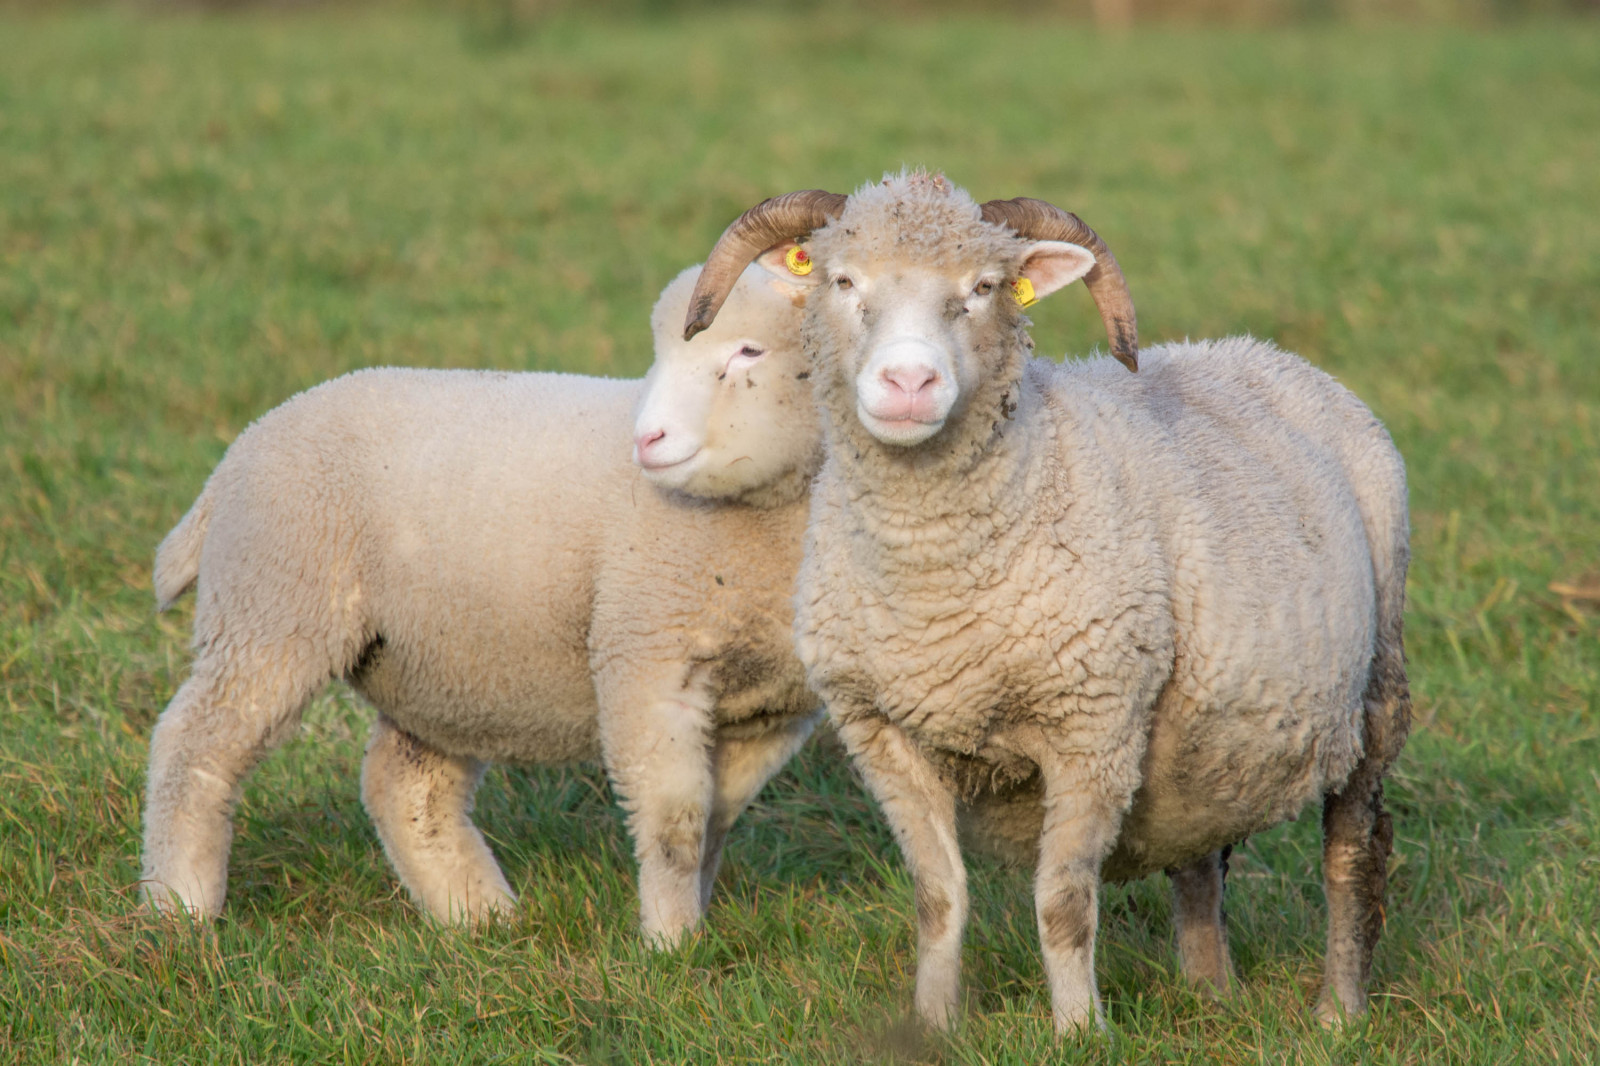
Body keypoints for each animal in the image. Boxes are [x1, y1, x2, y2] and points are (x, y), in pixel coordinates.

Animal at [141, 260, 825, 946]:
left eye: (750, 351)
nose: (648, 440)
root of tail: (240, 450)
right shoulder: (646, 659)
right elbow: (675, 824)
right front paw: (670, 945)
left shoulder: (769, 712)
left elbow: (714, 825)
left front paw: (693, 926)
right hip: (271, 607)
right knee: (193, 748)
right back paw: (180, 908)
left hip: (436, 666)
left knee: (403, 786)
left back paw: (479, 916)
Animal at [681, 173, 1411, 1033]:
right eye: (842, 280)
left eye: (984, 288)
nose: (908, 385)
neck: (937, 587)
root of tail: (1258, 352)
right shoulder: (880, 731)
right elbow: (937, 897)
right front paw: (934, 1025)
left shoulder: (1092, 728)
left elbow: (1063, 905)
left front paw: (1079, 1030)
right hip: (1198, 742)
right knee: (1199, 856)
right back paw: (1208, 990)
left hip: (1376, 690)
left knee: (1352, 849)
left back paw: (1339, 1009)